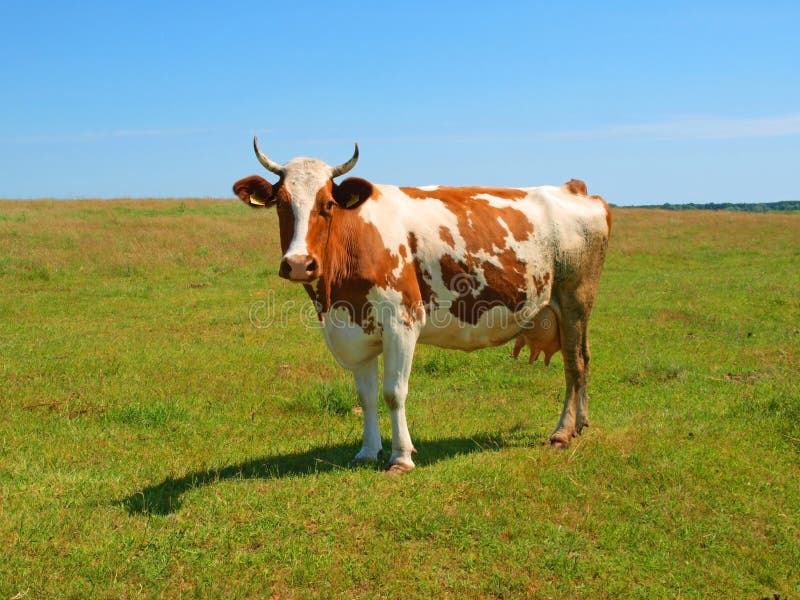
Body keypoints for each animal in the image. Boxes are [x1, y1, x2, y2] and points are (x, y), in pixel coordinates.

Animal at [233, 138, 611, 473]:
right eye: (281, 203)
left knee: (574, 365)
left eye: (327, 204)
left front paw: (400, 457)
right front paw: (367, 452)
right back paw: (581, 423)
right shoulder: (355, 328)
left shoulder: (402, 321)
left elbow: (393, 393)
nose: (299, 264)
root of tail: (573, 189)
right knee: (585, 357)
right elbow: (366, 396)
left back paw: (562, 432)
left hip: (576, 300)